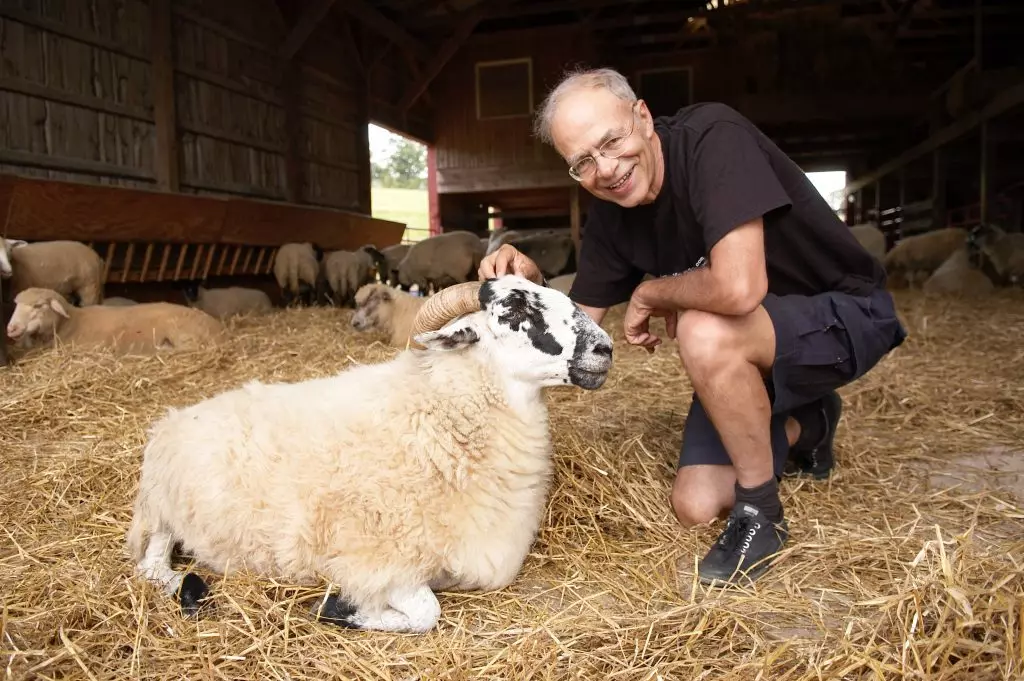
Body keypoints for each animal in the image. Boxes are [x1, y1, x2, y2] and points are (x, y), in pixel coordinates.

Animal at [123, 272, 610, 630]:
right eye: (513, 309)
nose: (605, 348)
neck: (441, 420)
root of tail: (174, 418)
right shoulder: (378, 560)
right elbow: (426, 613)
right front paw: (338, 610)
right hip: (163, 511)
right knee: (151, 565)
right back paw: (189, 590)